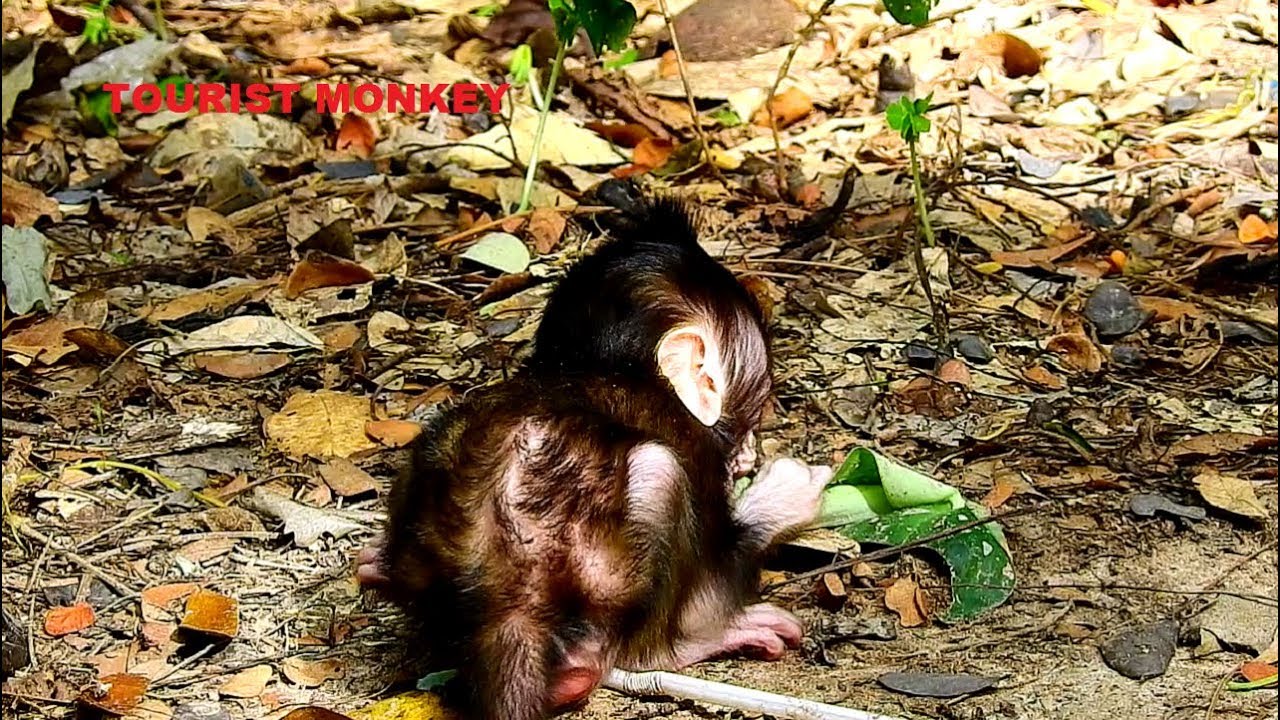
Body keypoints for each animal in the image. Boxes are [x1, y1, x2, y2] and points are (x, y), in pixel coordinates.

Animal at [357, 198, 830, 720]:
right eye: (752, 411)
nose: (747, 455)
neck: (606, 365)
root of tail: (506, 595)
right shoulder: (694, 449)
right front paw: (785, 493)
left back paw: (375, 567)